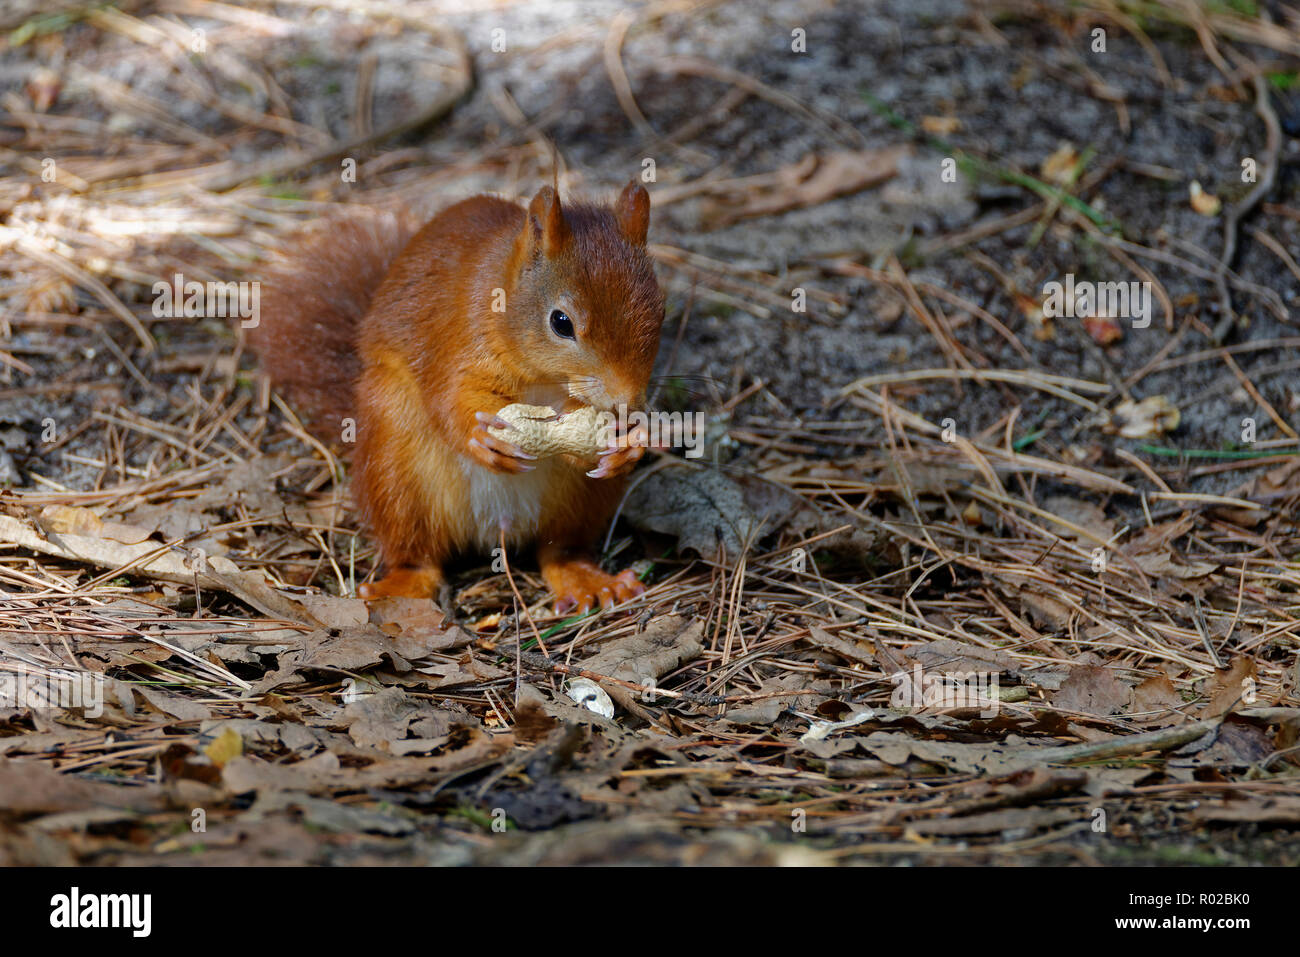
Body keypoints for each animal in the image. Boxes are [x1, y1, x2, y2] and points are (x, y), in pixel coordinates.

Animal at [248, 181, 665, 613]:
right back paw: (400, 585)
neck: (545, 380)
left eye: (660, 310)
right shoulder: (453, 342)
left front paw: (631, 443)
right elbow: (448, 399)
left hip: (583, 501)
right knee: (416, 553)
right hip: (395, 471)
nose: (629, 402)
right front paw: (482, 439)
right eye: (561, 322)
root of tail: (495, 529)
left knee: (560, 551)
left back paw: (586, 580)